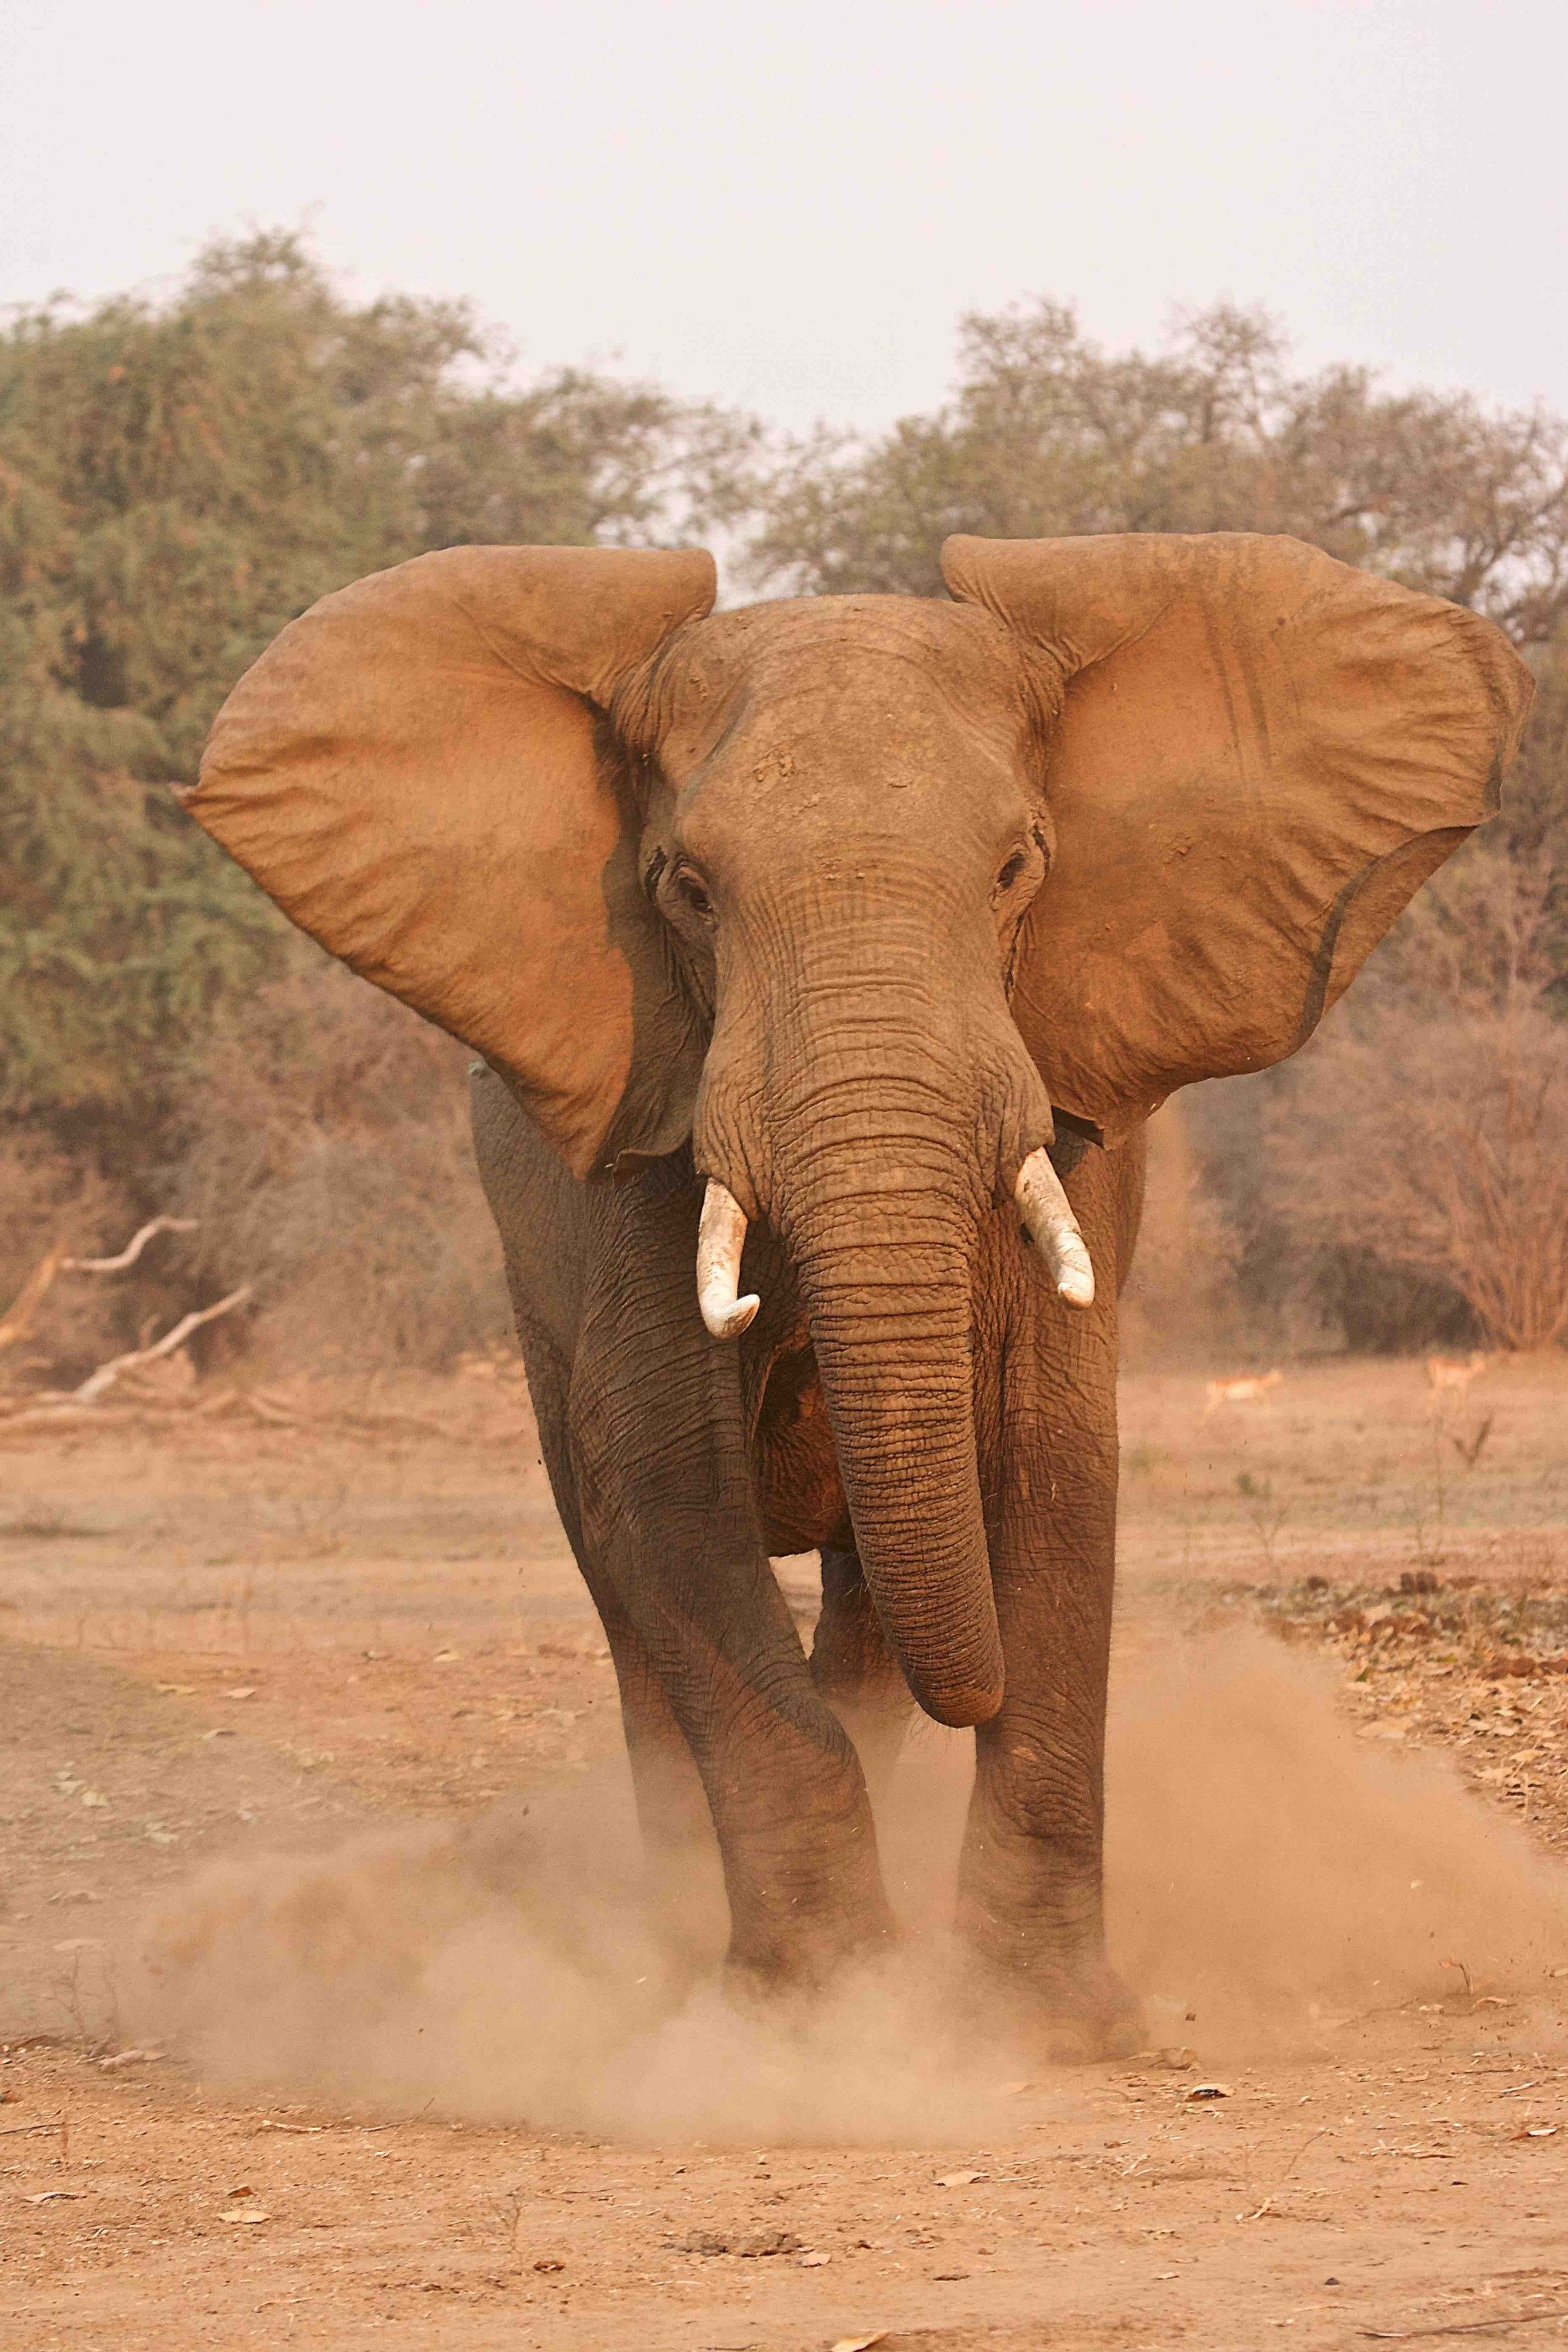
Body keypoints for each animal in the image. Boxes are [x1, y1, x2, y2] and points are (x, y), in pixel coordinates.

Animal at [181, 531, 1530, 2053]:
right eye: (686, 890)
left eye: (1016, 868)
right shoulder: (643, 1131)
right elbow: (664, 1491)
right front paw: (820, 2022)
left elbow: (1055, 1466)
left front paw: (1039, 2028)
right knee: (619, 1580)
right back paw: (669, 1931)